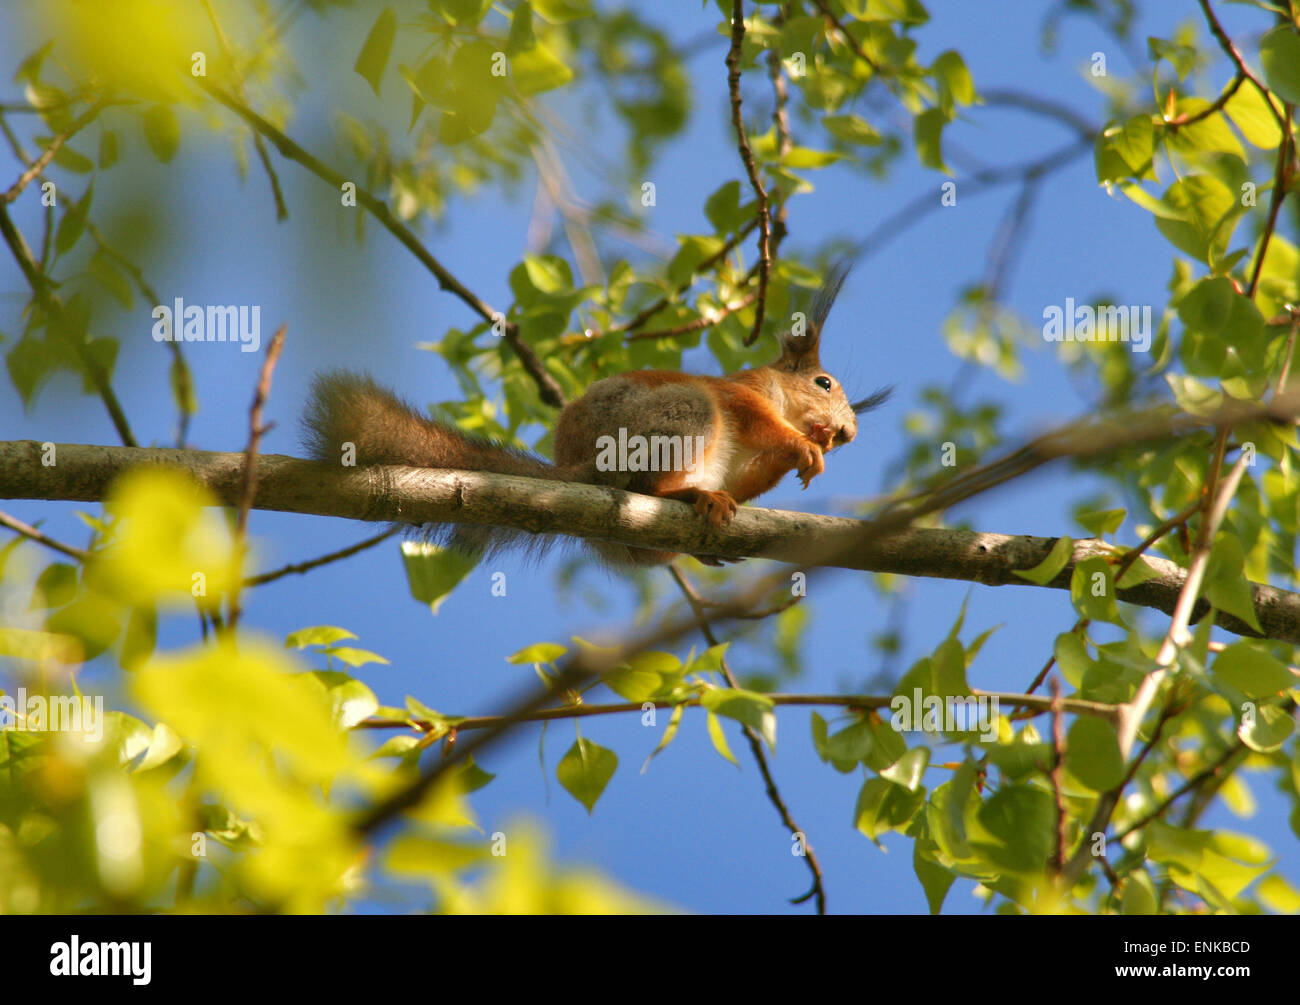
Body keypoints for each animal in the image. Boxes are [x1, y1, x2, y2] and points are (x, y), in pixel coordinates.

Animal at [302, 263, 890, 566]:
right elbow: (760, 421)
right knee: (643, 484)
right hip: (673, 416)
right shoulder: (739, 393)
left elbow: (753, 476)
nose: (844, 434)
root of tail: (579, 468)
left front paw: (803, 458)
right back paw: (688, 494)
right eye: (823, 383)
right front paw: (801, 445)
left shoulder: (746, 468)